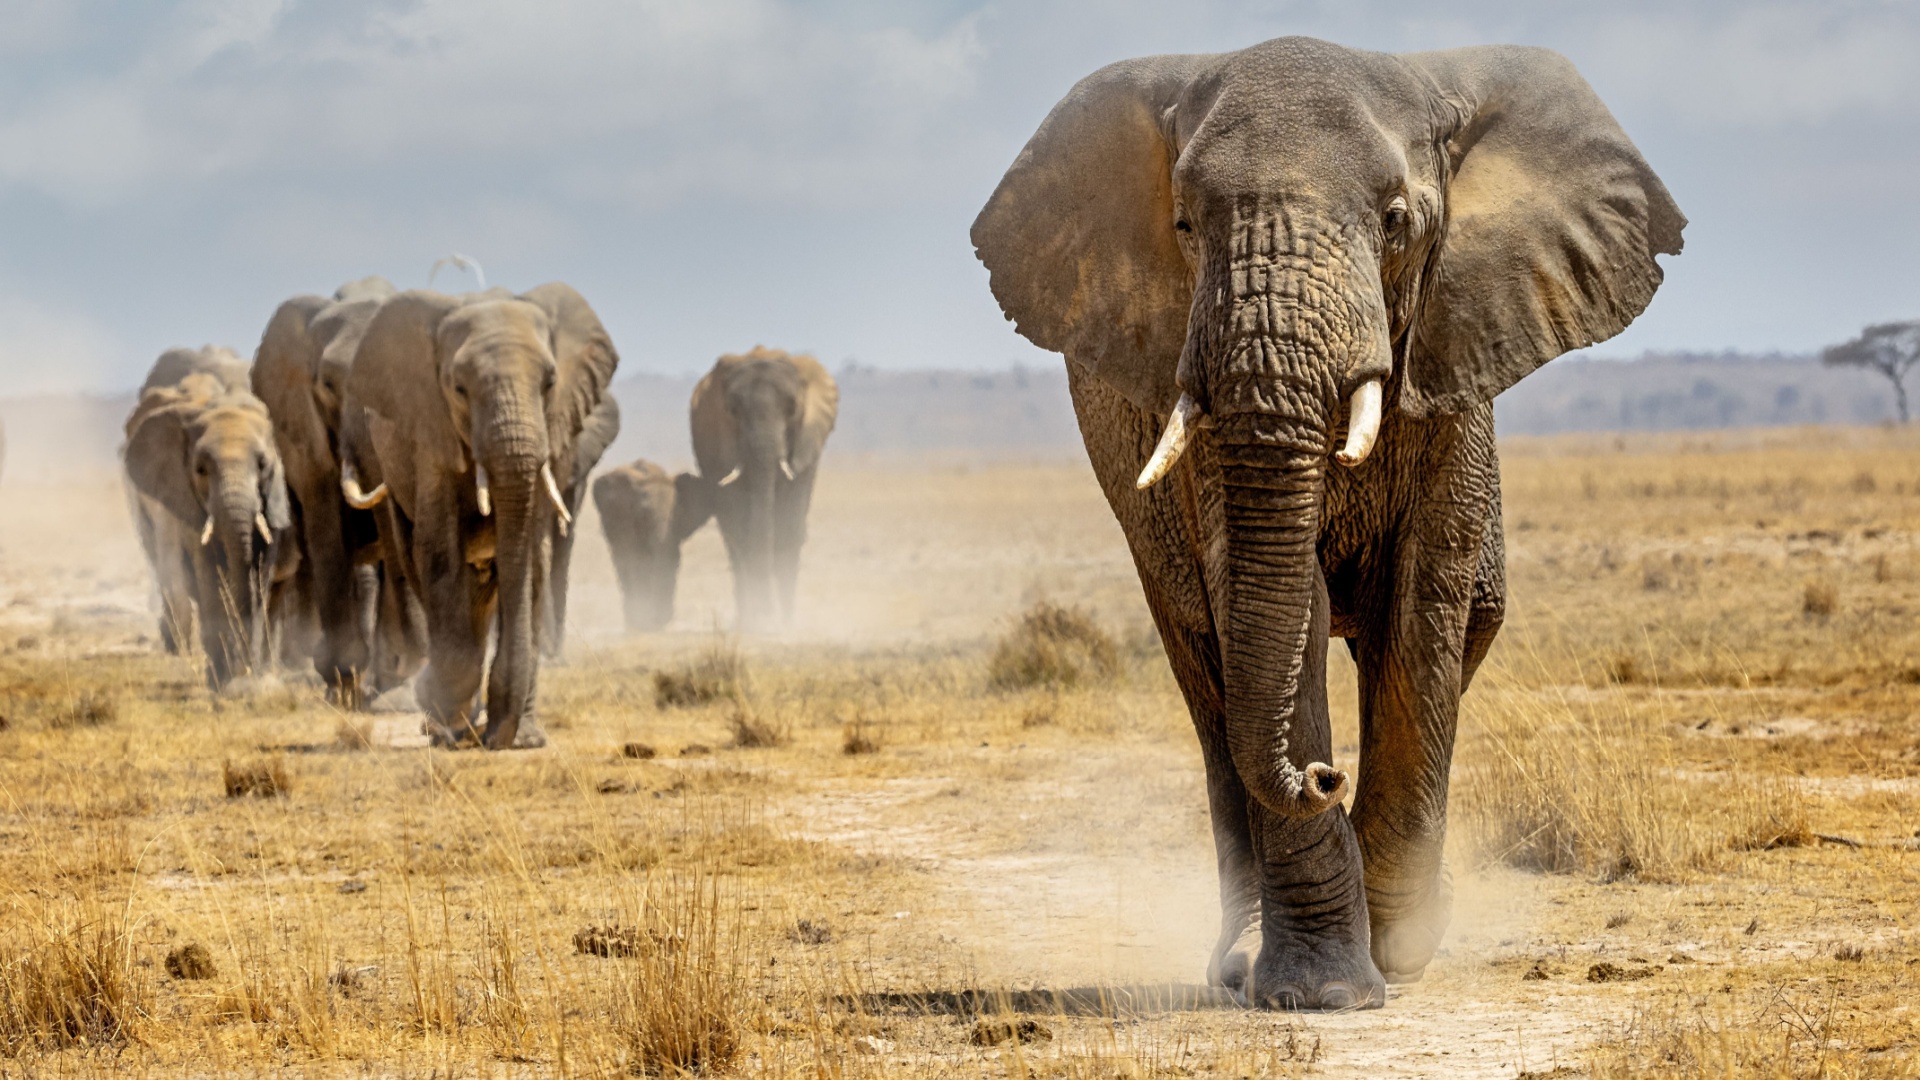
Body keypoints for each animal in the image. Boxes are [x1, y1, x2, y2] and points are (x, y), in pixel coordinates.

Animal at [124, 350, 294, 687]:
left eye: (263, 465)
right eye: (201, 469)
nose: (245, 668)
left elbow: (261, 571)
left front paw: (248, 673)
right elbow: (206, 569)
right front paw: (224, 676)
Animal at [252, 276, 425, 706]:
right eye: (329, 385)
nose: (402, 661)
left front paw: (392, 681)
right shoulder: (302, 423)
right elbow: (326, 522)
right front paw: (345, 677)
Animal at [688, 347, 837, 632]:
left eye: (792, 408)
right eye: (733, 410)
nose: (767, 615)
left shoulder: (807, 443)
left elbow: (789, 525)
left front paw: (786, 624)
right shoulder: (716, 446)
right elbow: (739, 524)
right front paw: (759, 621)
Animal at [973, 38, 1683, 1009]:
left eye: (1395, 221)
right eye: (1184, 226)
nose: (1321, 776)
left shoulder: (1453, 355)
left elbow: (1425, 603)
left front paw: (1401, 951)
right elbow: (1274, 600)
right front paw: (1322, 993)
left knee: (1470, 619)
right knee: (1208, 675)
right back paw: (1241, 956)